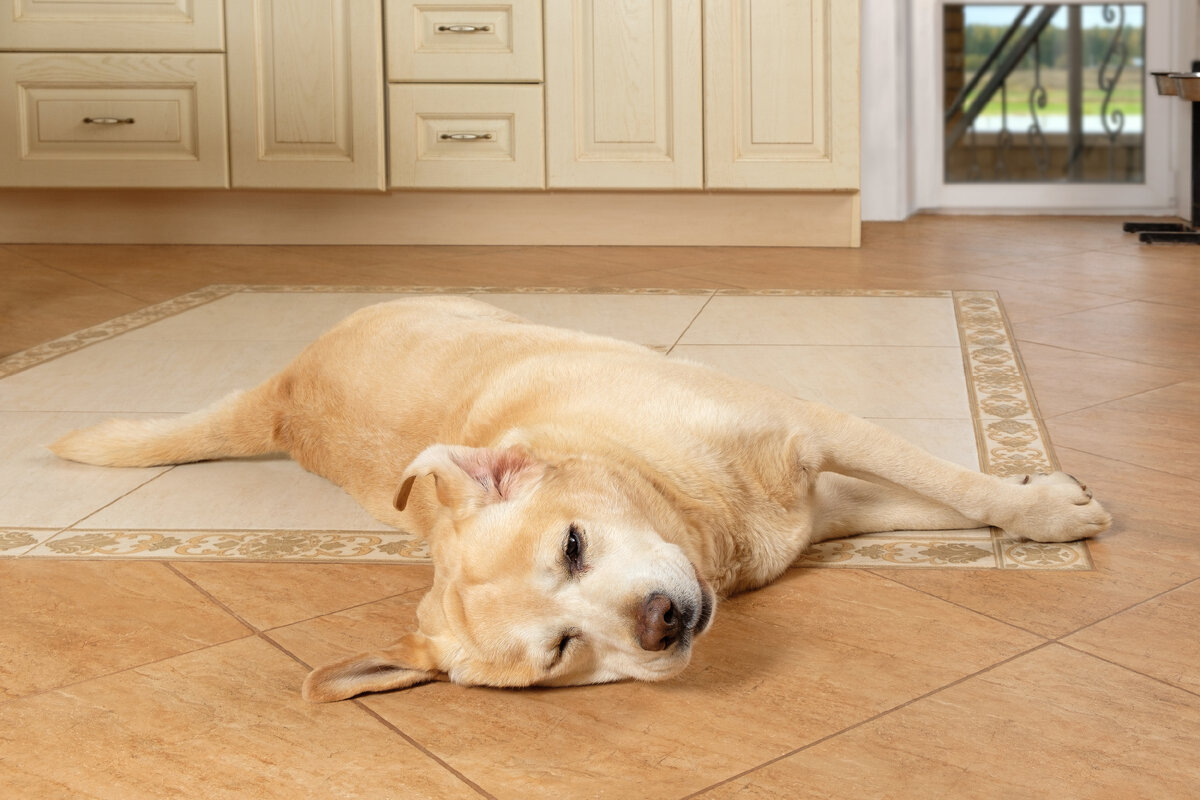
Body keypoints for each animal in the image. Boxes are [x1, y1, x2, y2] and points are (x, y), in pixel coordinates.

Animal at [51, 296, 1108, 700]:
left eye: (571, 545)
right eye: (563, 651)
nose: (658, 622)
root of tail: (284, 392)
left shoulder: (807, 430)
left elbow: (948, 482)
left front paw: (1046, 504)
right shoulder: (820, 506)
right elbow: (936, 503)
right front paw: (1037, 496)